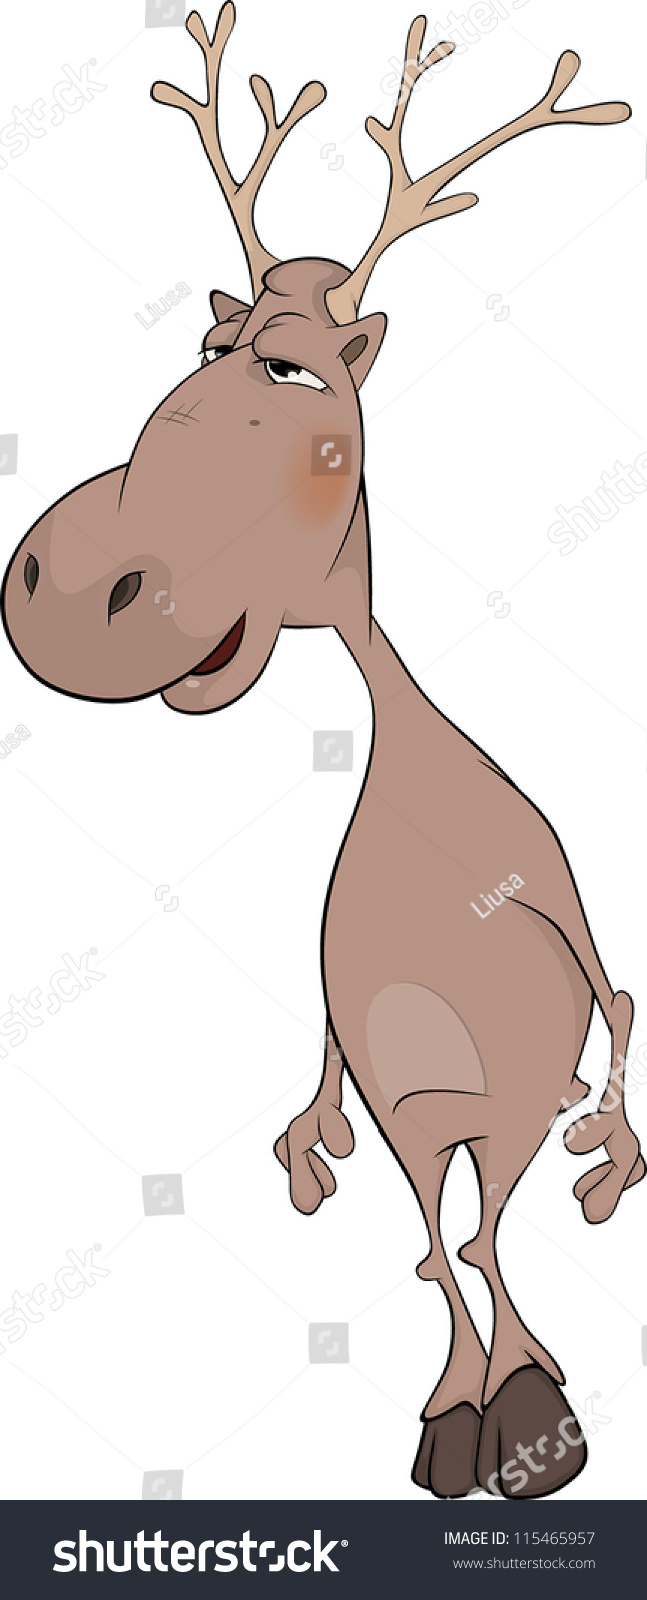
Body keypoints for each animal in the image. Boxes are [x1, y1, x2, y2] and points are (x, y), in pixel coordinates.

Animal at [2, 6, 643, 1499]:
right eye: (201, 347)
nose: (72, 588)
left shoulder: (560, 940)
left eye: (306, 385)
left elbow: (615, 1023)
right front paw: (473, 1415)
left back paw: (521, 1407)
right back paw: (470, 1412)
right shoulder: (376, 1070)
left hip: (486, 1109)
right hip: (432, 1123)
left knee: (480, 1226)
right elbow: (400, 1199)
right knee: (446, 1239)